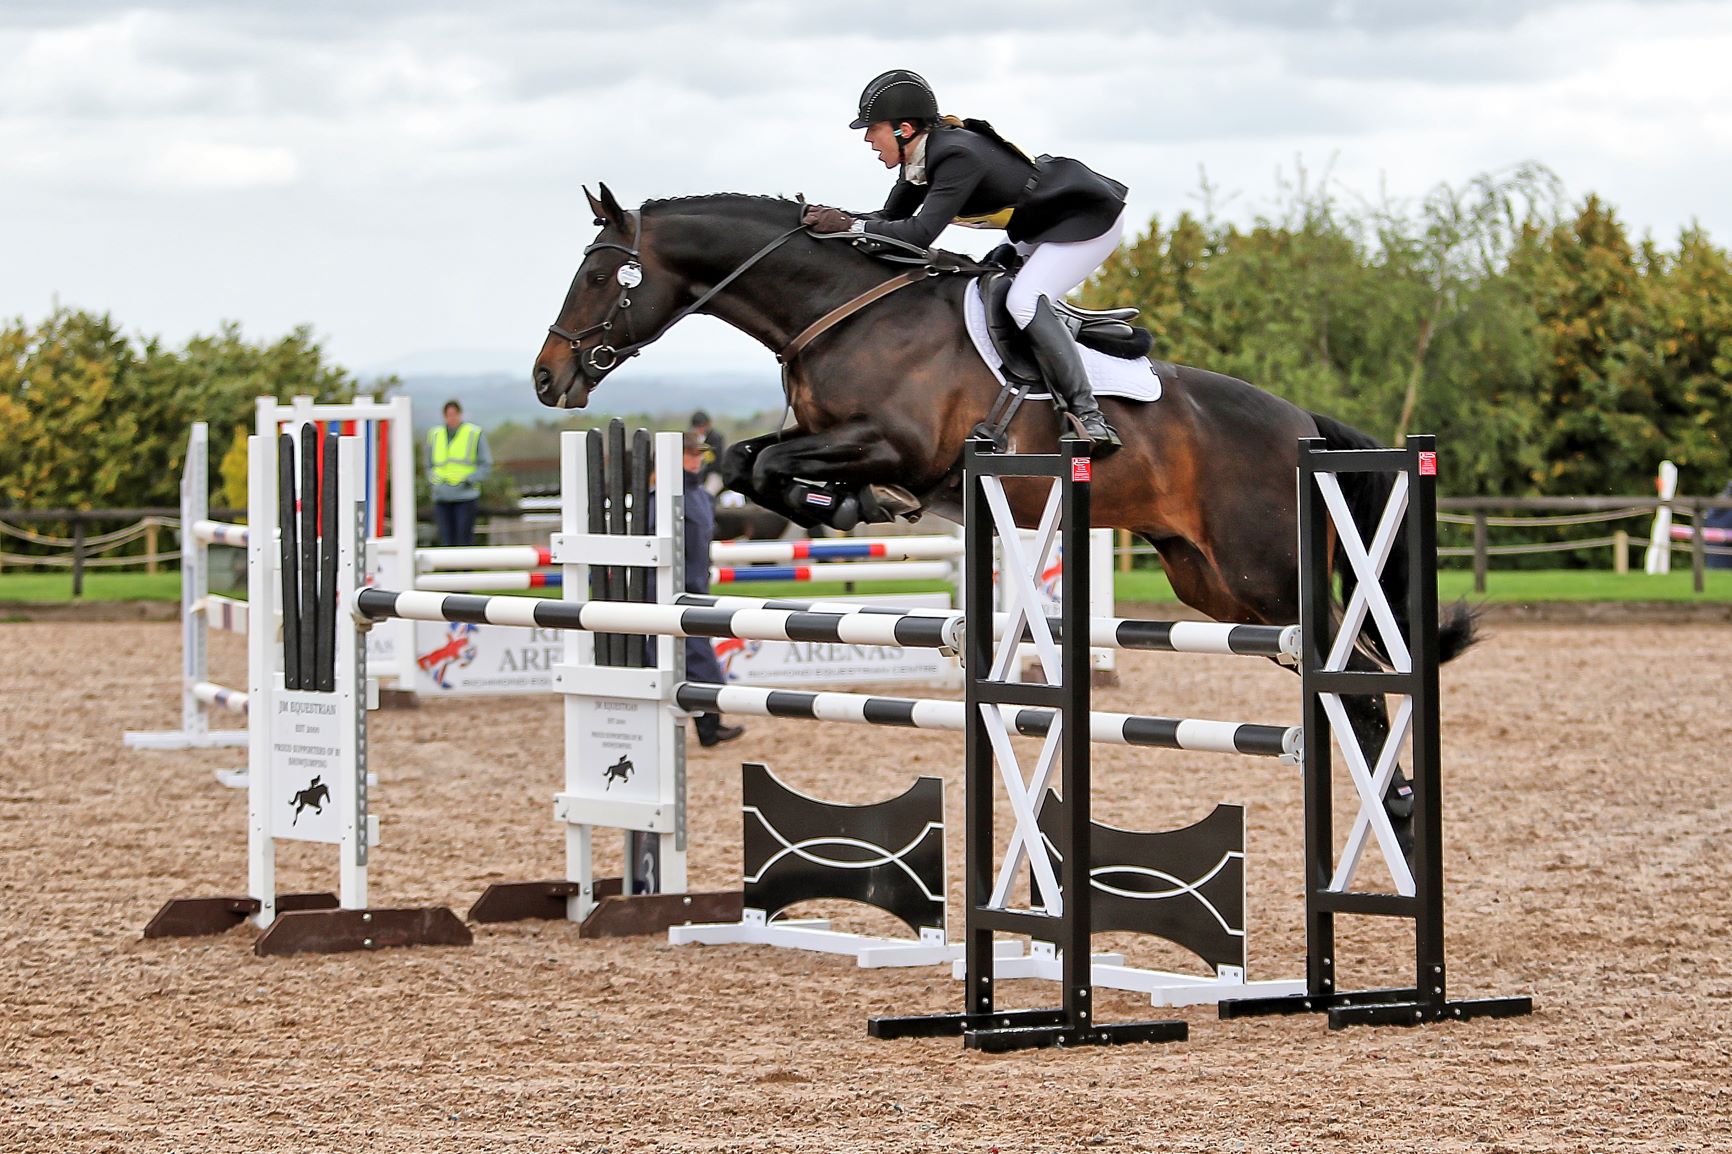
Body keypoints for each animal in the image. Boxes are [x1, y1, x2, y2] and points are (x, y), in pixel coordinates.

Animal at [532, 185, 1477, 851]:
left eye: (598, 276)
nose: (547, 379)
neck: (838, 309)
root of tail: (1301, 423)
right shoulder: (822, 437)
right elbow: (743, 463)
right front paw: (838, 506)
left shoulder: (889, 442)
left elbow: (771, 465)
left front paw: (852, 503)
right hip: (1210, 584)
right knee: (1347, 678)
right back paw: (1388, 809)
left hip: (1268, 580)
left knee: (1361, 677)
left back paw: (1393, 807)